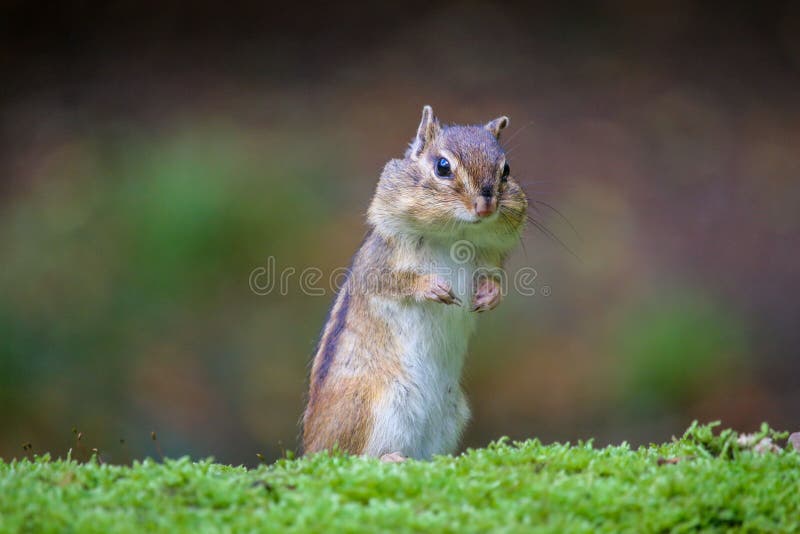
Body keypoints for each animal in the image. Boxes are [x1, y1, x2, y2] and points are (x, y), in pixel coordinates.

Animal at [302, 106, 527, 462]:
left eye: (506, 170)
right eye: (443, 166)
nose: (486, 205)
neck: (455, 236)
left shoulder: (492, 258)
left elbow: (494, 278)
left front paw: (490, 296)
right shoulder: (378, 261)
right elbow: (390, 281)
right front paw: (431, 287)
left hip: (452, 411)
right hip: (372, 402)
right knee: (350, 455)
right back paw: (389, 457)